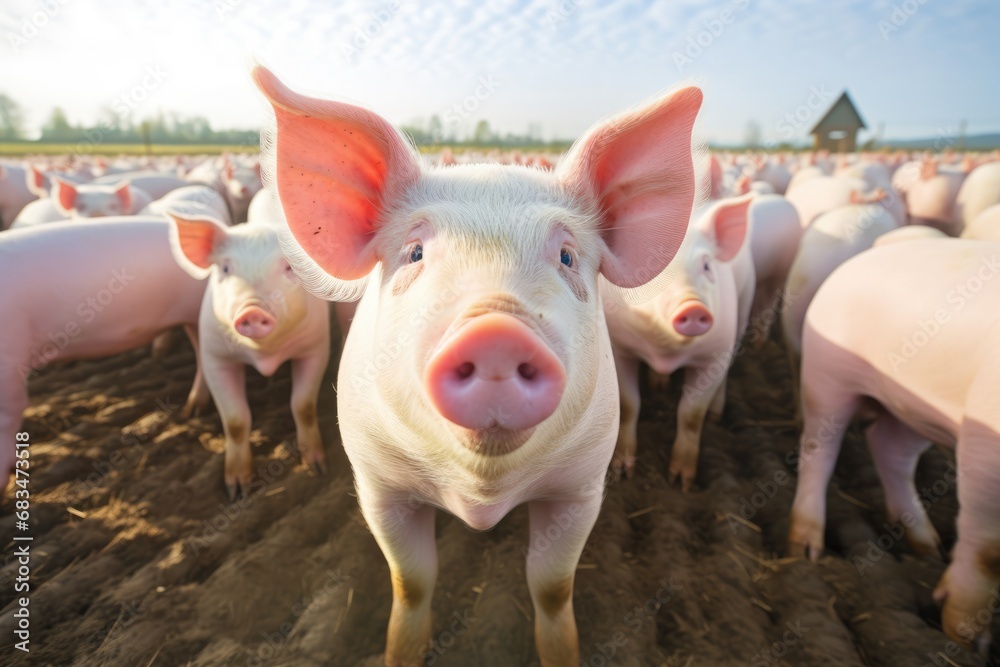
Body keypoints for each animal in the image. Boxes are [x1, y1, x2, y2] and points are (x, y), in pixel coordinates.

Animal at [167, 212, 331, 498]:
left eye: (290, 268)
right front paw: (237, 490)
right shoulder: (215, 357)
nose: (253, 310)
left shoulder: (316, 346)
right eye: (225, 269)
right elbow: (235, 421)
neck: (263, 355)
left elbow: (304, 406)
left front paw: (318, 469)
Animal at [253, 65, 702, 666]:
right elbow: (410, 582)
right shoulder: (377, 482)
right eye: (415, 253)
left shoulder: (582, 486)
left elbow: (553, 587)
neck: (482, 493)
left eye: (566, 256)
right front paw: (401, 653)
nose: (496, 331)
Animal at [605, 196, 755, 487]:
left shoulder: (713, 355)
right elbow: (628, 403)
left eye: (706, 266)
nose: (693, 306)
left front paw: (681, 482)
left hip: (745, 302)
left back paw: (716, 415)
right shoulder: (619, 348)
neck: (666, 351)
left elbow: (691, 414)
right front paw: (623, 472)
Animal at [789, 238, 1000, 651]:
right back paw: (805, 549)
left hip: (913, 407)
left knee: (888, 448)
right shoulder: (985, 441)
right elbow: (988, 549)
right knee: (818, 450)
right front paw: (969, 641)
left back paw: (929, 546)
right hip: (827, 374)